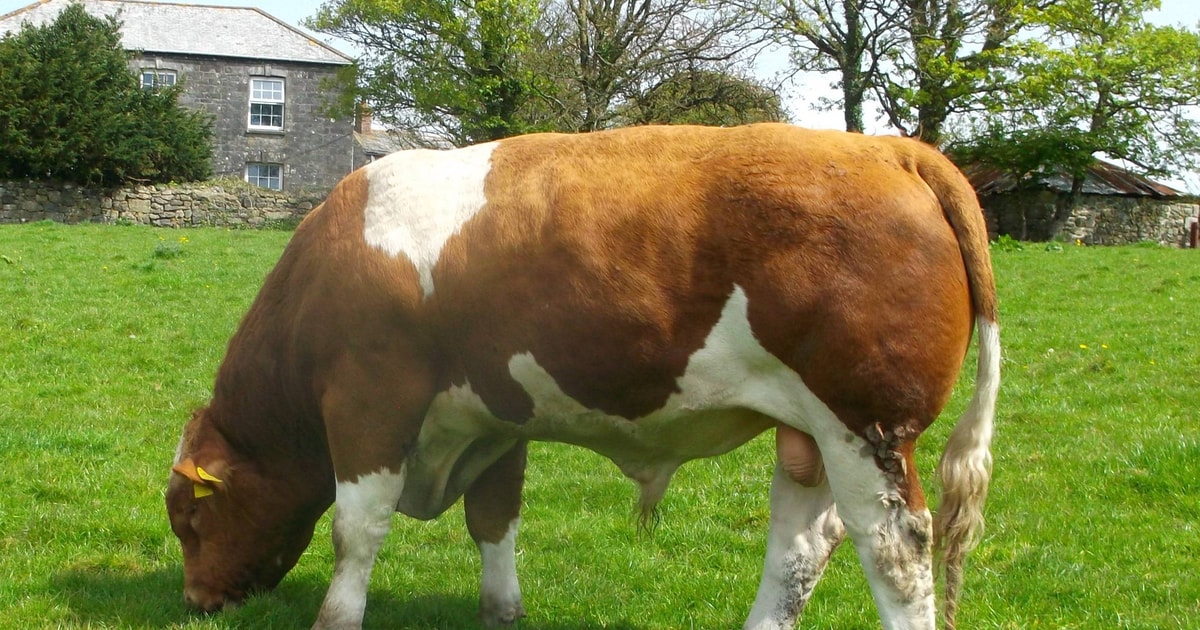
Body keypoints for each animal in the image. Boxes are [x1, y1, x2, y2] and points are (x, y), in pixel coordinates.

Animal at [166, 123, 999, 630]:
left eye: (190, 518)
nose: (196, 599)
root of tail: (891, 150)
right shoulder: (494, 415)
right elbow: (494, 518)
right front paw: (502, 608)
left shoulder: (370, 402)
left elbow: (354, 529)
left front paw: (337, 616)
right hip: (808, 432)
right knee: (800, 547)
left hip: (863, 425)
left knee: (894, 551)